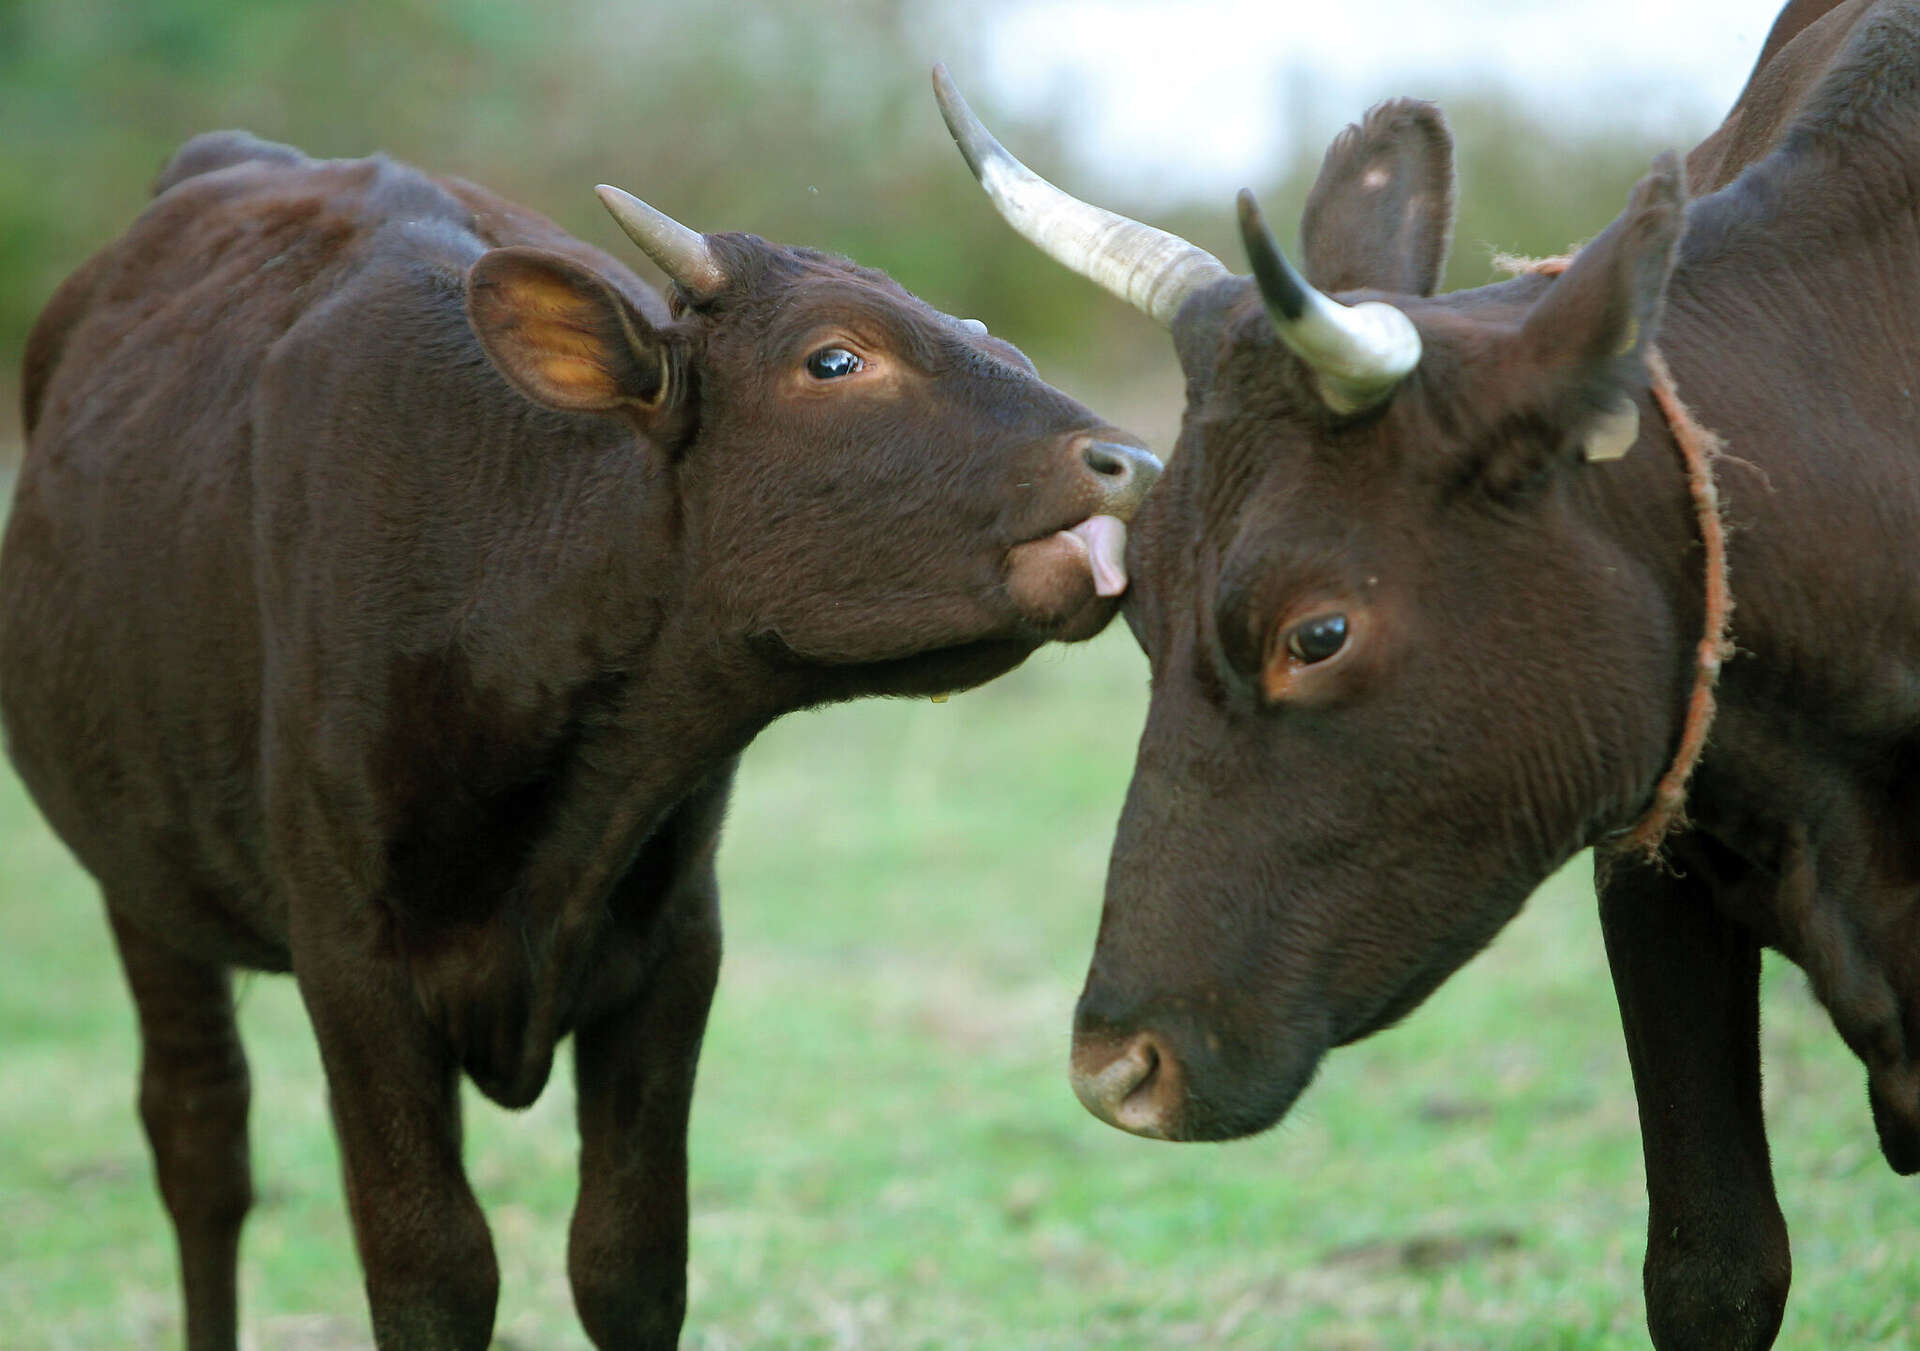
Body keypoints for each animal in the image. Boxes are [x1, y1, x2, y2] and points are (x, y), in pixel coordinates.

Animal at [0, 131, 1158, 1351]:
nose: (1130, 459)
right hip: (139, 878)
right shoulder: (351, 957)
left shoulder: (676, 937)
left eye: (1003, 345)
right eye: (836, 359)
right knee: (200, 1145)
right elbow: (431, 1270)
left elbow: (628, 1259)